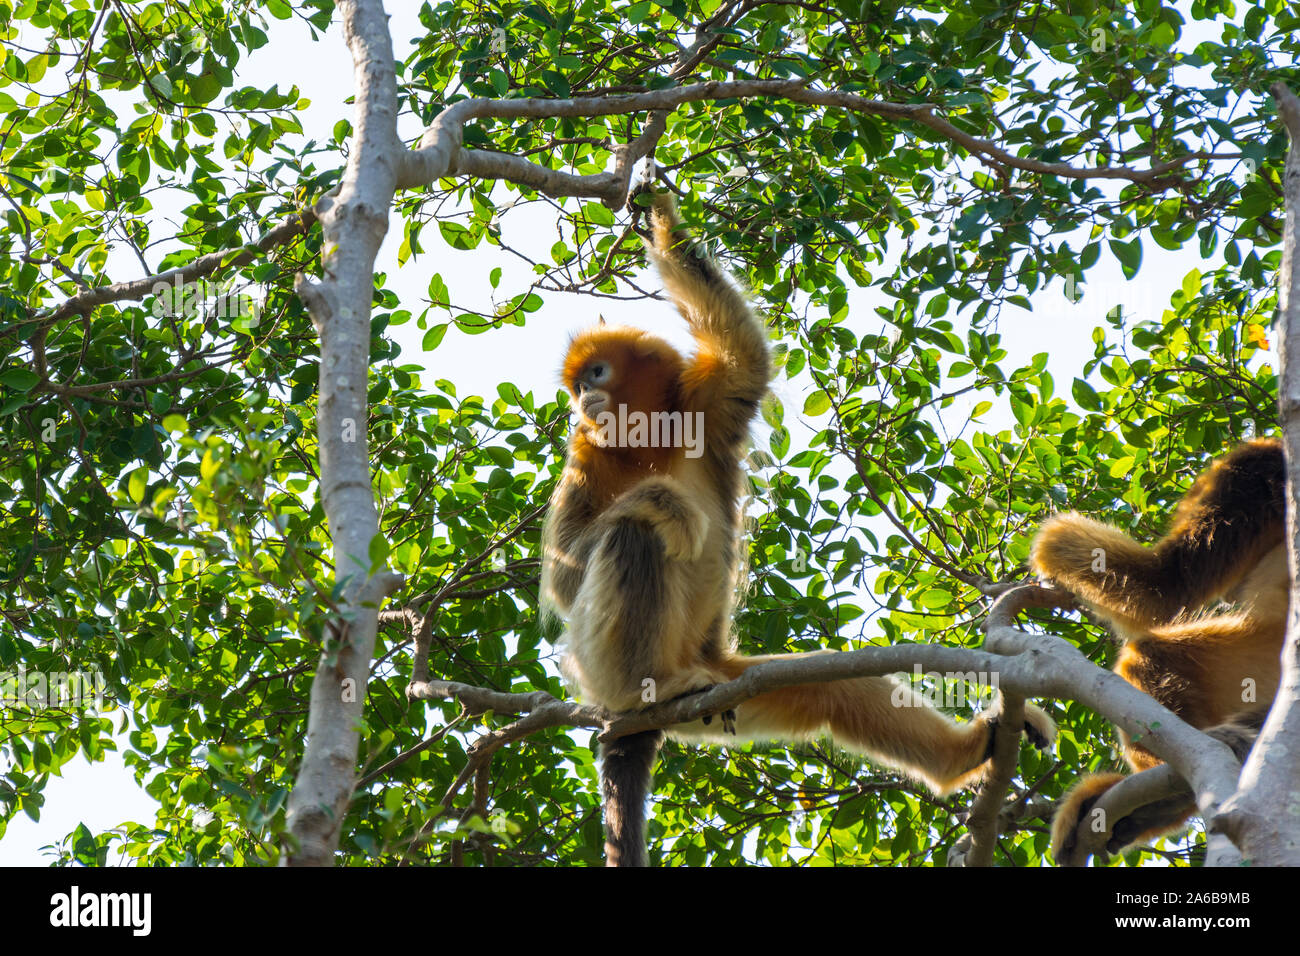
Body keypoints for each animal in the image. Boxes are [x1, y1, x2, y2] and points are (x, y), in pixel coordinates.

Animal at [540, 190, 1057, 866]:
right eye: (578, 386)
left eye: (595, 375)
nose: (581, 402)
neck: (645, 442)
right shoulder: (586, 452)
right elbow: (565, 579)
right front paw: (667, 500)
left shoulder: (710, 402)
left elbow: (745, 352)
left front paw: (658, 214)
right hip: (601, 665)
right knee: (633, 536)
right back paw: (648, 686)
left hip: (734, 686)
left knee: (834, 687)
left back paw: (965, 753)